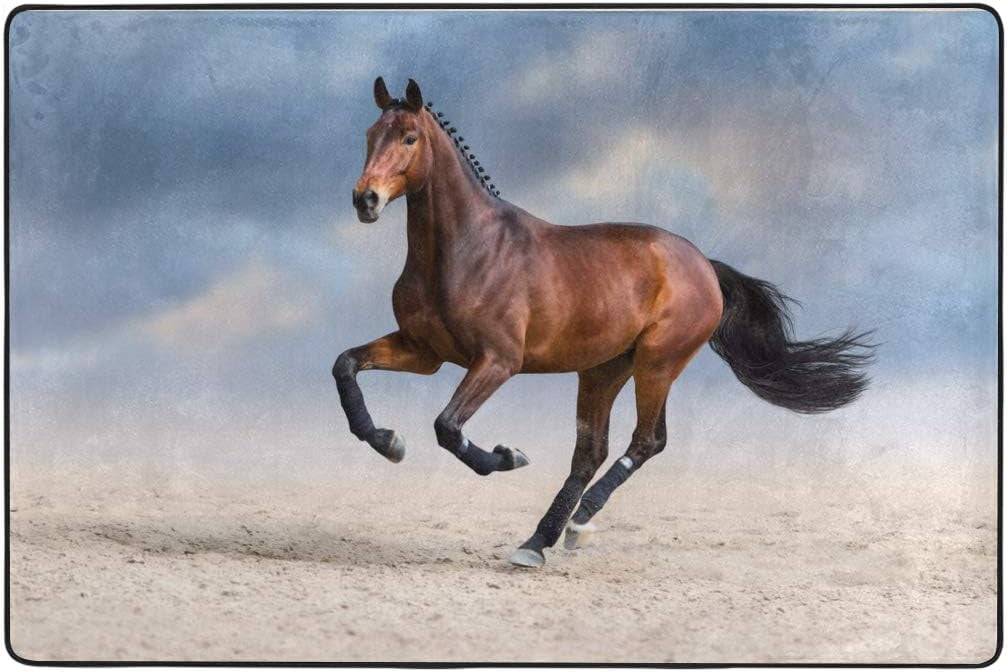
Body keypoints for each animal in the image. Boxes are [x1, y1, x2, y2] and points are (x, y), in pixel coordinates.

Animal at [335, 77, 874, 568]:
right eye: (370, 133)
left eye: (409, 137)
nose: (366, 200)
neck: (469, 249)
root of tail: (703, 265)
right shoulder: (423, 351)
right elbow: (346, 366)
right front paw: (387, 441)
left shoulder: (497, 361)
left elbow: (447, 427)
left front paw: (507, 457)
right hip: (603, 370)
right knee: (590, 452)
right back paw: (538, 542)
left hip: (657, 364)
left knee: (647, 441)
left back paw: (575, 524)